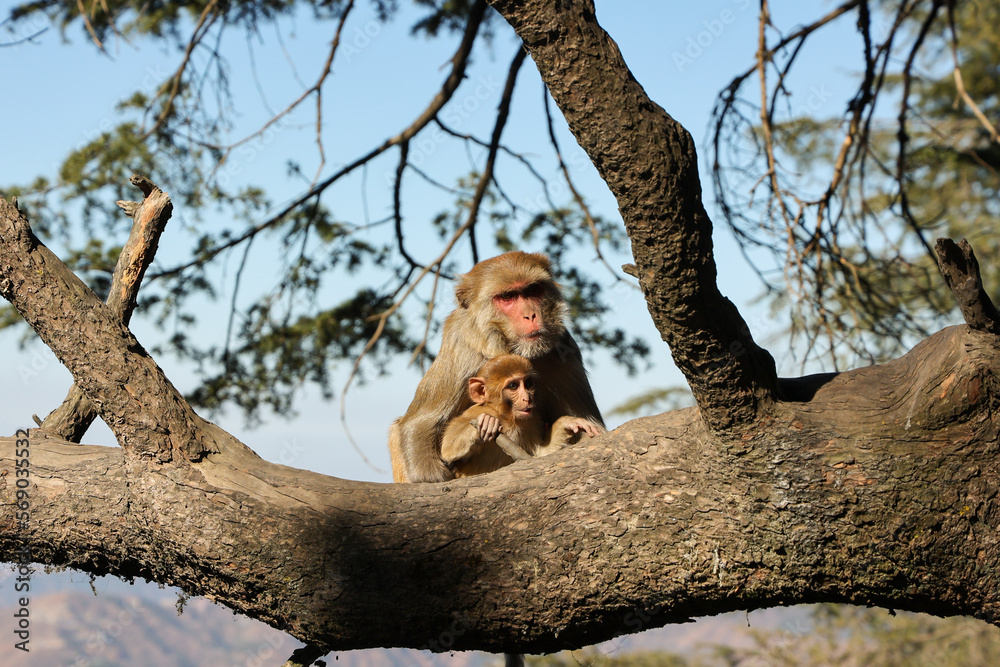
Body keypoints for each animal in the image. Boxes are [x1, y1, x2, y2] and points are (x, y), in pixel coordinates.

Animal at [439, 355, 601, 477]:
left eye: (528, 383)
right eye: (513, 386)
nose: (526, 398)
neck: (508, 418)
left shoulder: (532, 422)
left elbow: (538, 455)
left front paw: (566, 423)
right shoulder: (476, 411)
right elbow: (448, 448)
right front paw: (486, 421)